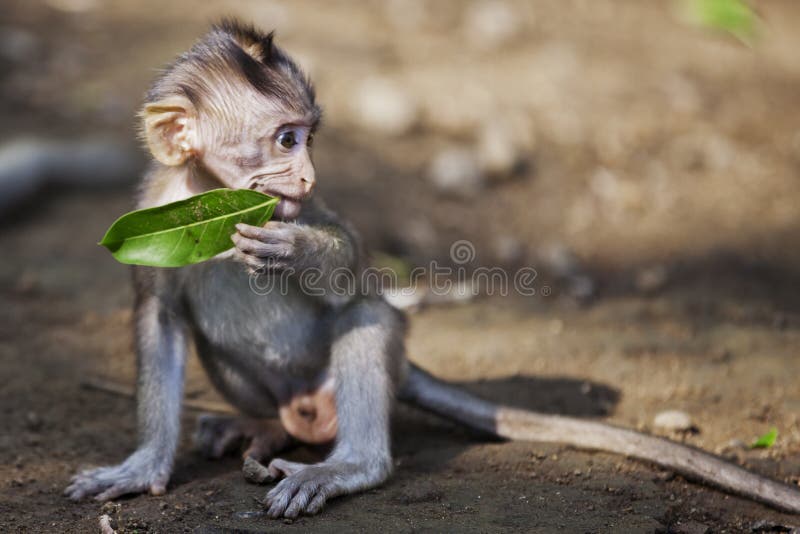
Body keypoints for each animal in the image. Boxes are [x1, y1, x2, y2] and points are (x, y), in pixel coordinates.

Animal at [64, 20, 800, 518]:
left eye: (308, 140)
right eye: (284, 139)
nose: (307, 175)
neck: (204, 190)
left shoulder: (303, 212)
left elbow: (351, 266)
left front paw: (299, 251)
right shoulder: (152, 218)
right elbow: (160, 324)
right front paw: (143, 465)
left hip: (351, 382)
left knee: (366, 318)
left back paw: (348, 466)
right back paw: (259, 429)